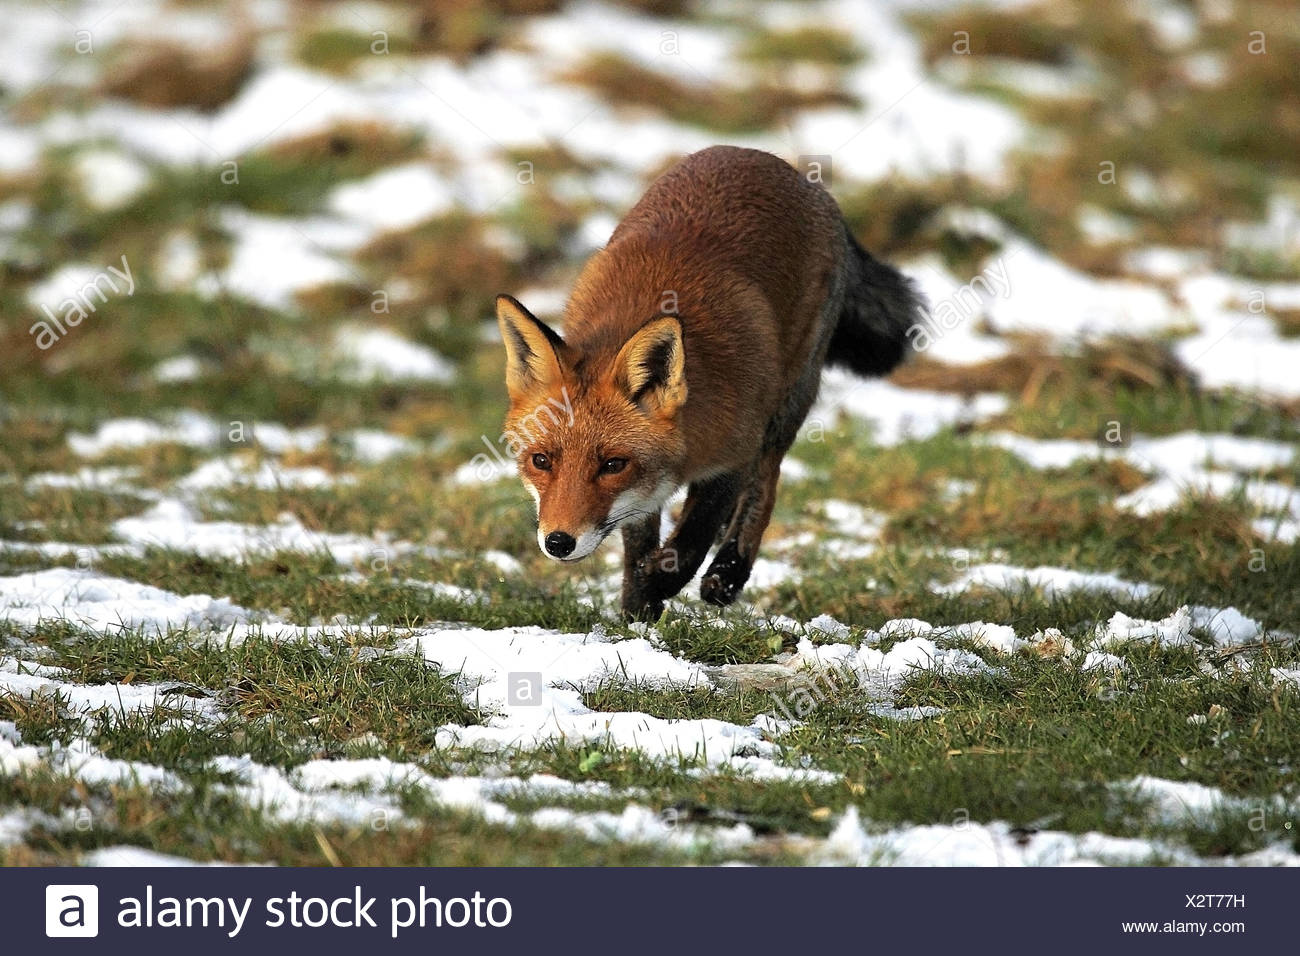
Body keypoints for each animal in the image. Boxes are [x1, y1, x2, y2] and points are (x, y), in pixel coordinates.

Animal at [496, 145, 925, 621]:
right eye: (540, 461)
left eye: (612, 464)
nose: (558, 542)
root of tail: (762, 157)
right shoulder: (644, 495)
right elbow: (639, 543)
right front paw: (637, 609)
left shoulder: (733, 454)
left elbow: (691, 541)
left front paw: (658, 583)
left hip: (789, 400)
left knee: (765, 485)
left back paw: (729, 571)